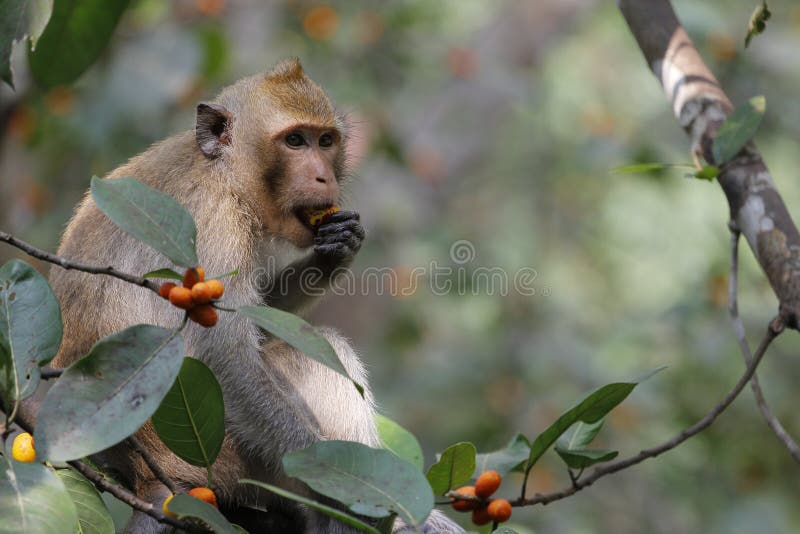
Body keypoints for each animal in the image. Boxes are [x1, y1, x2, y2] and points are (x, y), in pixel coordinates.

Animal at [48, 59, 465, 534]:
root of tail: (147, 476)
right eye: (295, 141)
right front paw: (342, 487)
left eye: (325, 141)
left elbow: (264, 318)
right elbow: (226, 358)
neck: (224, 172)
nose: (324, 175)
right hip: (226, 457)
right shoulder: (214, 225)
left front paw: (336, 250)